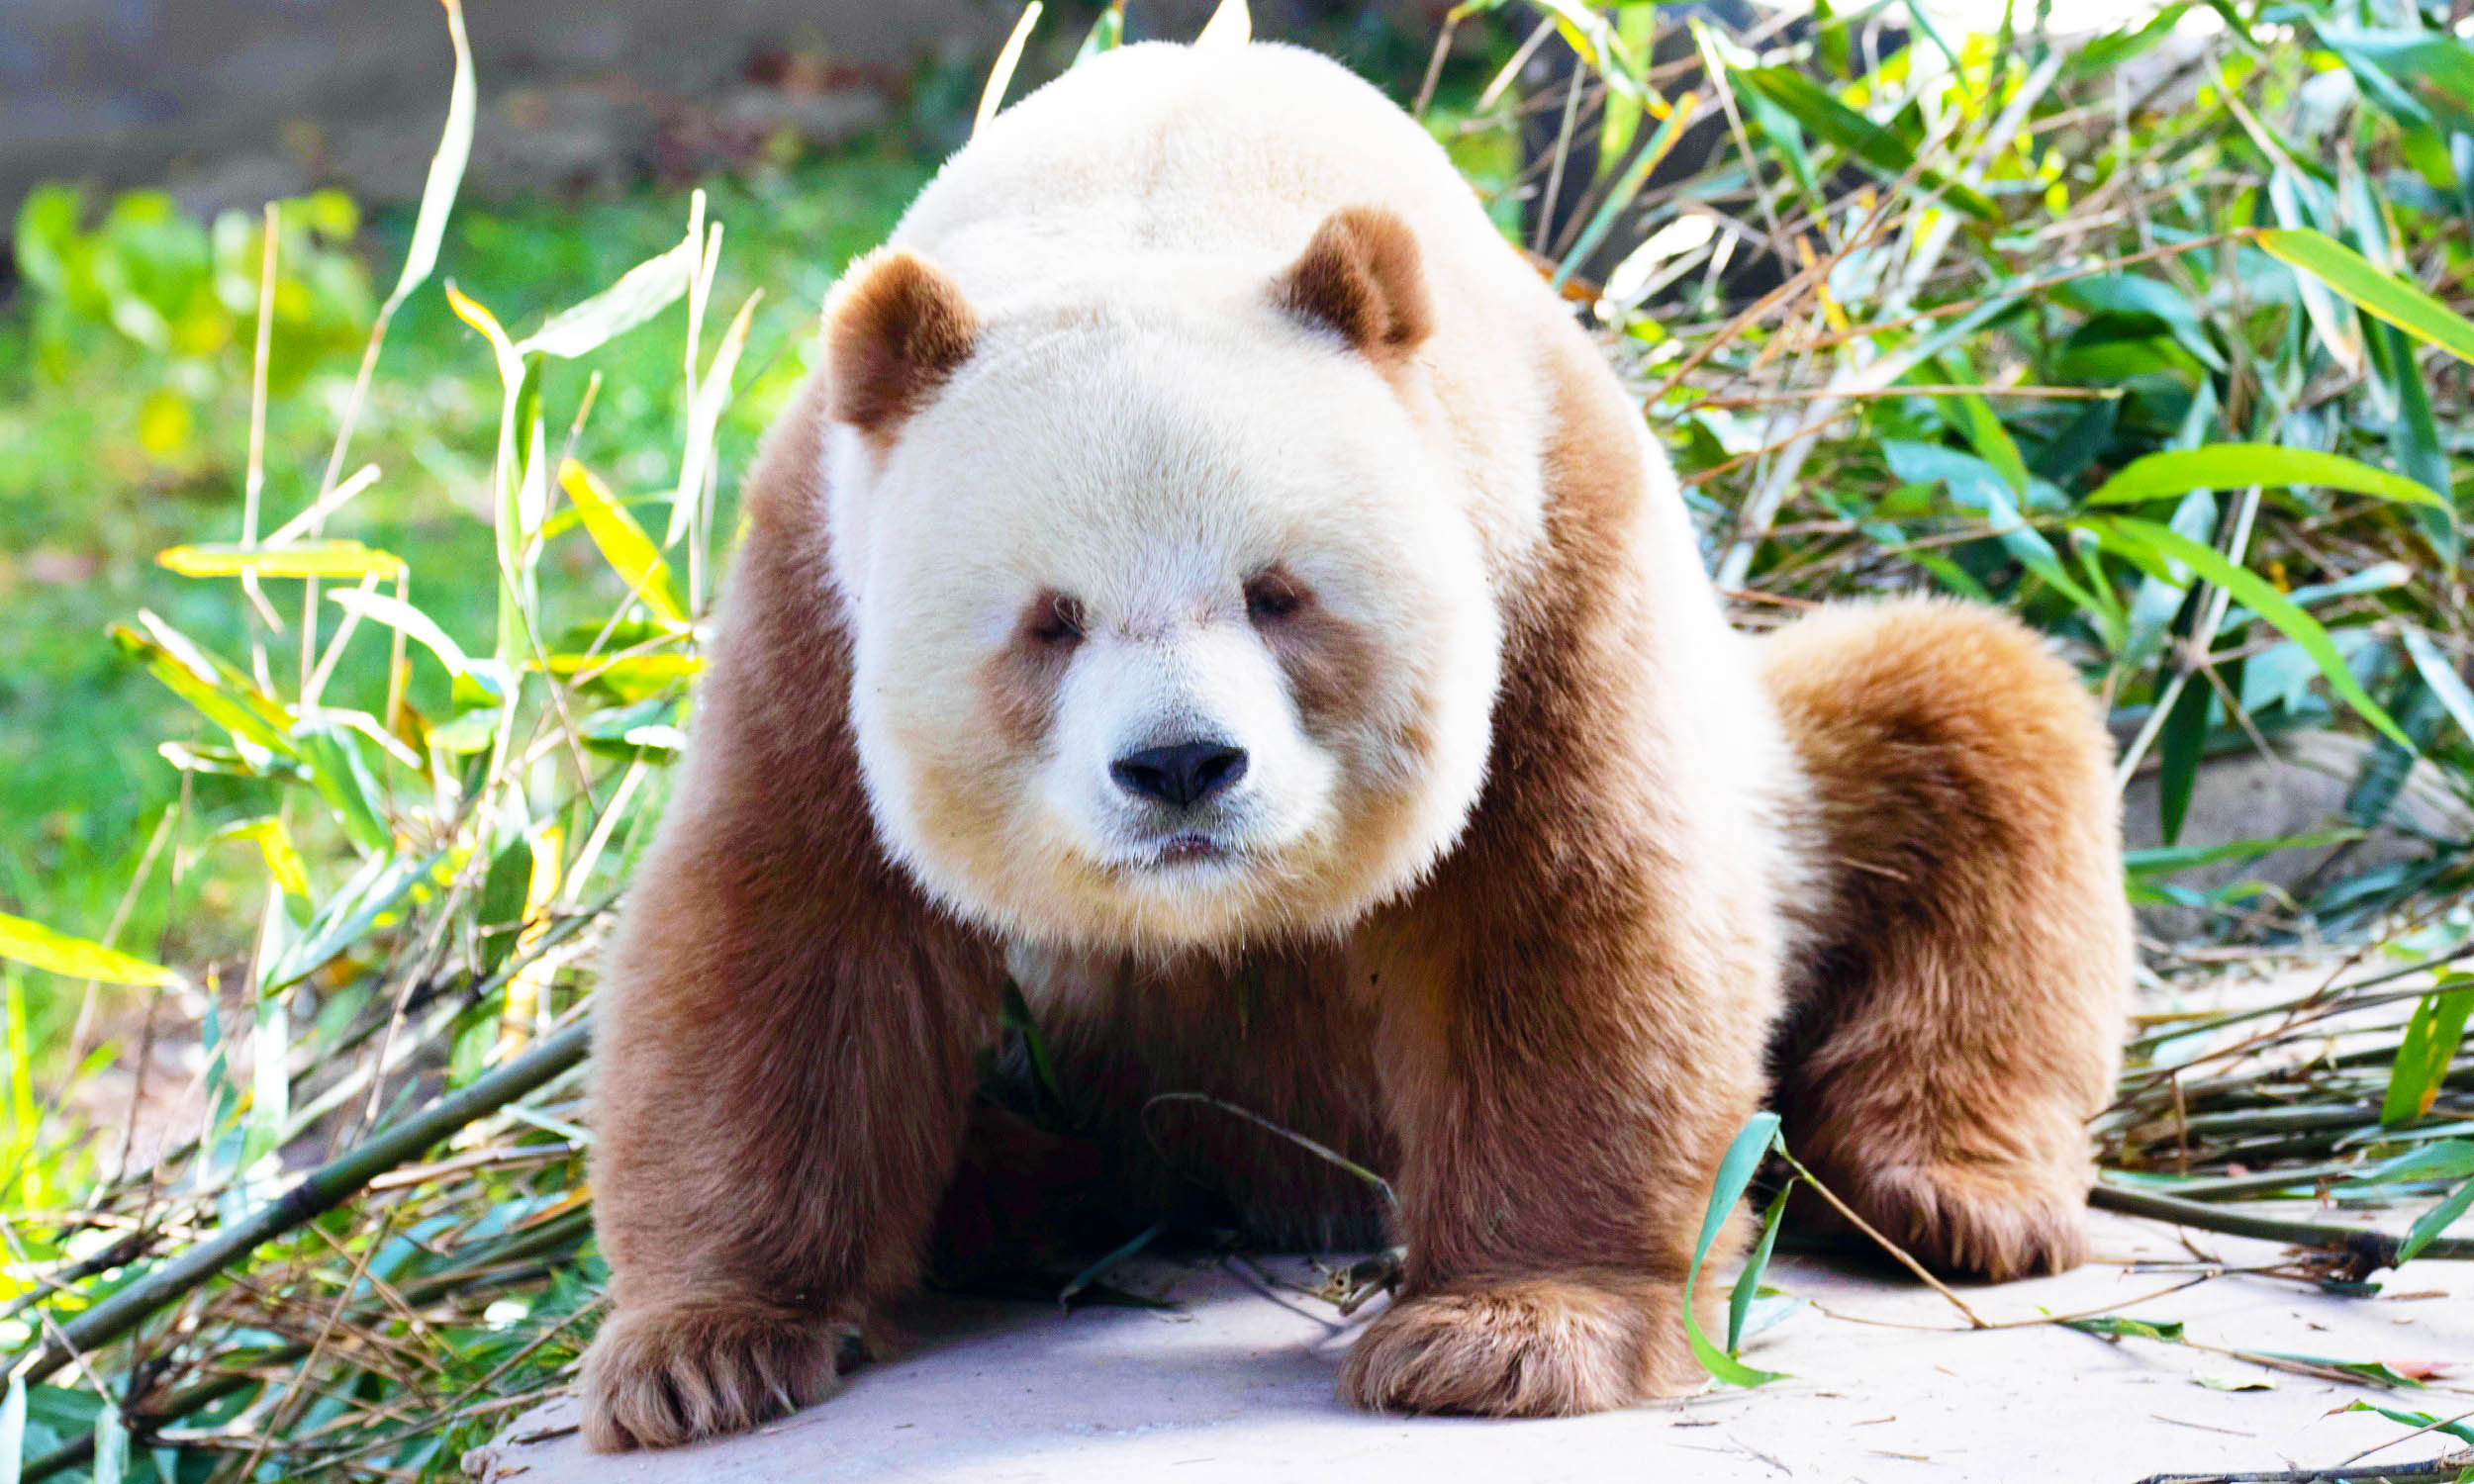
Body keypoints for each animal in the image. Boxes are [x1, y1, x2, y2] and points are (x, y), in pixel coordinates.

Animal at [577, 39, 2128, 1451]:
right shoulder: (809, 593)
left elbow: (1573, 913)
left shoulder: (1544, 535)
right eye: (1051, 623)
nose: (1182, 770)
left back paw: (1952, 1191)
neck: (1167, 173)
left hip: (1802, 779)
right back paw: (1027, 1202)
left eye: (1278, 595)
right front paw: (702, 1352)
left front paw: (1511, 1331)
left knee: (1964, 731)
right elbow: (787, 934)